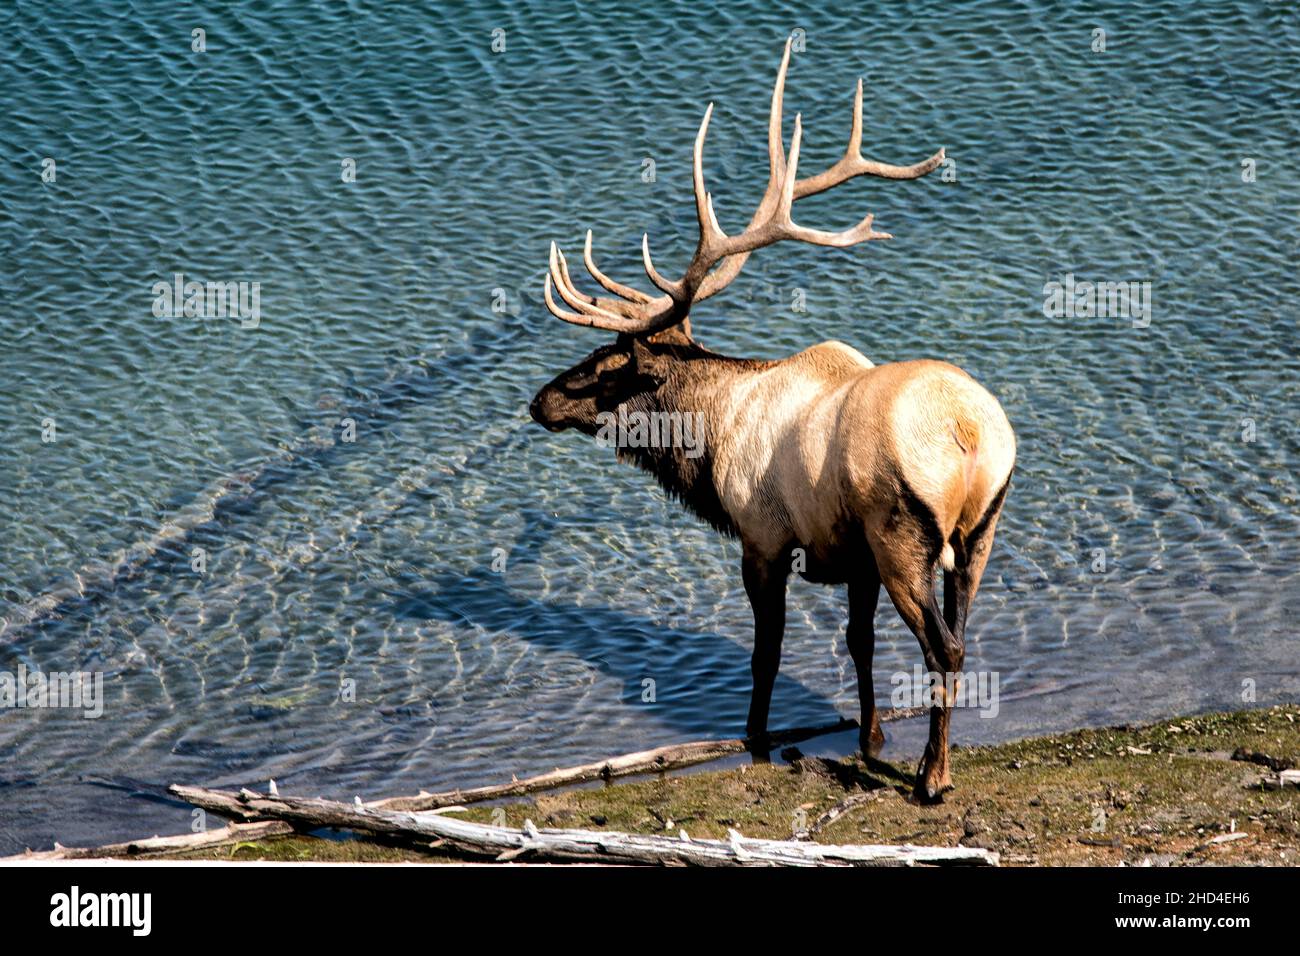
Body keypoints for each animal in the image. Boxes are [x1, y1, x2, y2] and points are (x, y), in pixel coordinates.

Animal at [528, 41, 1015, 804]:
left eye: (606, 364)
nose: (540, 401)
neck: (710, 437)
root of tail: (969, 436)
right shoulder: (853, 556)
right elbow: (857, 641)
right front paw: (870, 737)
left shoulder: (762, 536)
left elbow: (767, 652)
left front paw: (754, 737)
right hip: (980, 530)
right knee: (963, 632)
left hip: (904, 534)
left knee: (945, 644)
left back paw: (932, 778)